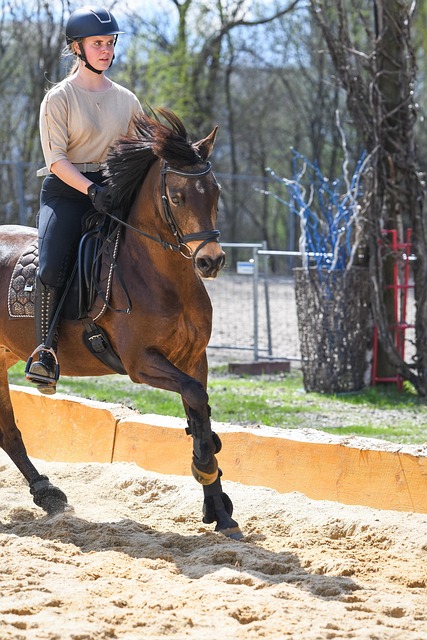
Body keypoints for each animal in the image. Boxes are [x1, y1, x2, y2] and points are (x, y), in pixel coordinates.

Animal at [0, 109, 243, 540]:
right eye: (176, 196)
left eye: (214, 191)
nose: (210, 261)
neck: (164, 278)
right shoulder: (140, 363)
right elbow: (195, 398)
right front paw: (204, 466)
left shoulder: (194, 359)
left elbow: (198, 409)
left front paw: (218, 506)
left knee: (7, 430)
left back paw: (47, 494)